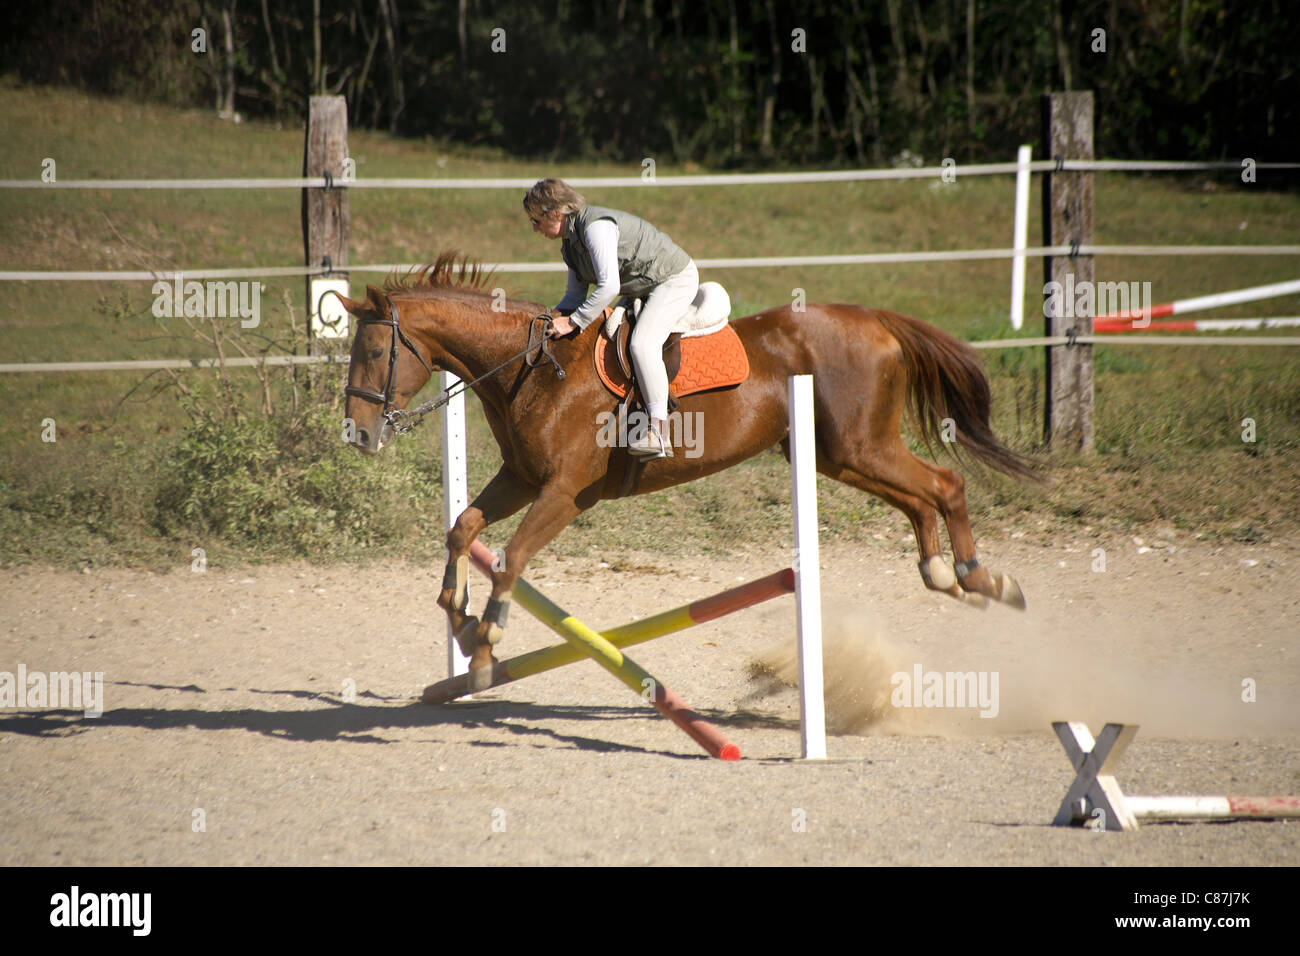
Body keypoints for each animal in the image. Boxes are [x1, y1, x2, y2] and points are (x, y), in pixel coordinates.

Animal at [338, 252, 1038, 691]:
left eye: (373, 350)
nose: (359, 435)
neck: (531, 369)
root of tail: (875, 319)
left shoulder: (564, 493)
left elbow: (509, 560)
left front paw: (483, 648)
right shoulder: (522, 480)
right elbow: (462, 529)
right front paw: (458, 620)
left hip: (860, 447)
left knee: (945, 485)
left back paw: (981, 577)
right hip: (837, 455)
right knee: (921, 499)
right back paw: (948, 575)